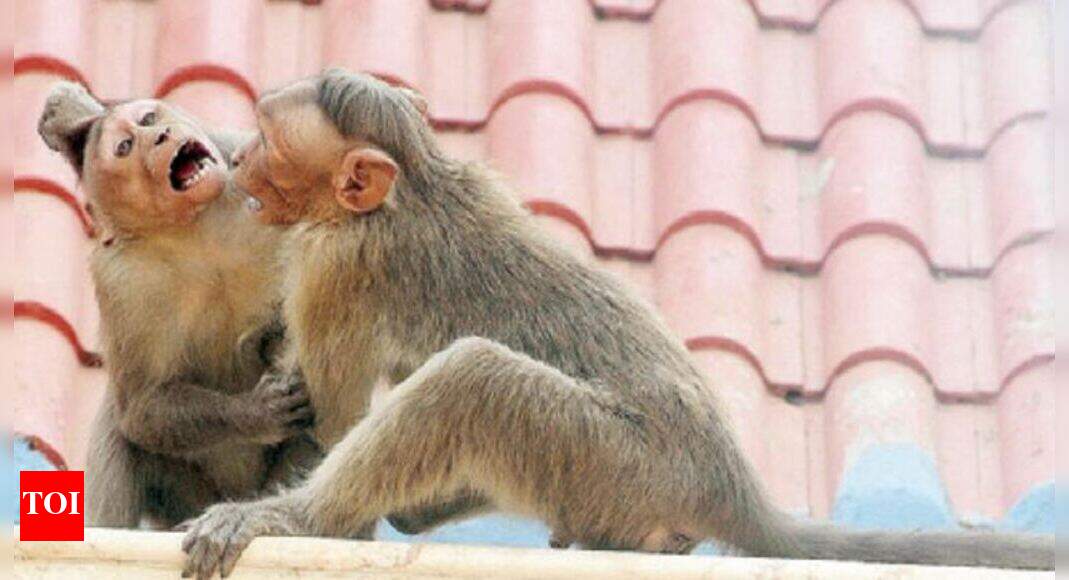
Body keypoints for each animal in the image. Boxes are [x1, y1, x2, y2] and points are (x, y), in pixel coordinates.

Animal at [37, 82, 320, 529]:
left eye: (149, 120)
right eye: (125, 146)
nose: (162, 136)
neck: (198, 227)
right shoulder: (119, 281)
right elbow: (142, 405)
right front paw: (254, 413)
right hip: (187, 501)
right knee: (121, 424)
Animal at [179, 70, 1053, 578]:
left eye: (270, 141)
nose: (241, 156)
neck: (413, 187)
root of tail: (725, 477)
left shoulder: (337, 263)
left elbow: (335, 418)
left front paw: (302, 503)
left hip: (620, 461)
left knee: (473, 379)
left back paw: (307, 515)